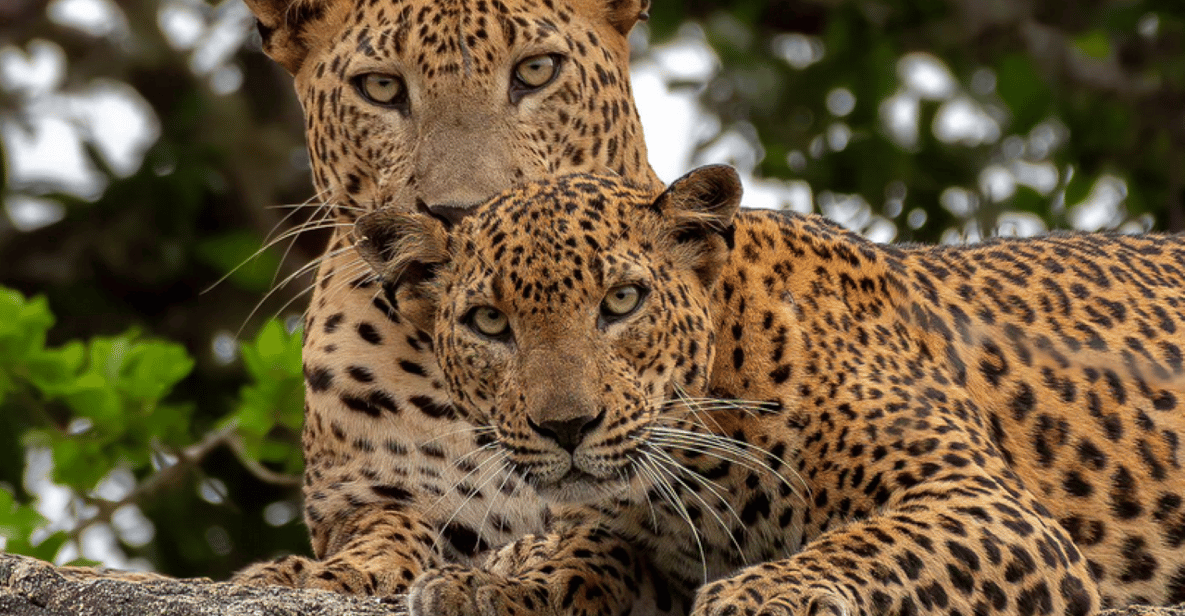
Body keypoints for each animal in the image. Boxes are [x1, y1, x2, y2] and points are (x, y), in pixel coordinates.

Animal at [231, 0, 671, 600]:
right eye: (381, 87)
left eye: (536, 71)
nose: (460, 214)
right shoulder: (361, 498)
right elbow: (385, 526)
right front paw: (334, 571)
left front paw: (534, 561)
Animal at [352, 163, 1185, 616]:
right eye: (489, 322)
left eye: (622, 302)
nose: (567, 427)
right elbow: (581, 545)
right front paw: (500, 586)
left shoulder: (981, 503)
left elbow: (870, 541)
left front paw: (761, 593)